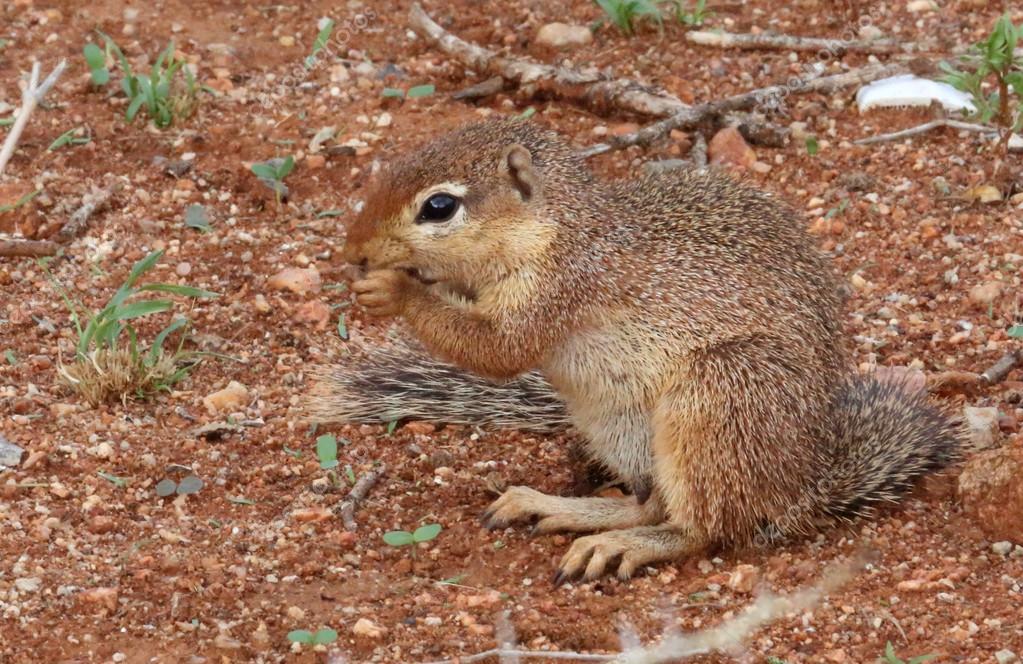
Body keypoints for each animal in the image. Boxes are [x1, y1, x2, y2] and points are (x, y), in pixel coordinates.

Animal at [311, 119, 962, 582]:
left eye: (439, 206)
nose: (354, 252)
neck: (554, 227)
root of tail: (804, 485)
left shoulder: (564, 284)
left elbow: (499, 349)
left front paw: (394, 290)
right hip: (617, 423)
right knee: (651, 501)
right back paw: (560, 509)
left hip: (721, 398)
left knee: (702, 527)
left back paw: (622, 545)